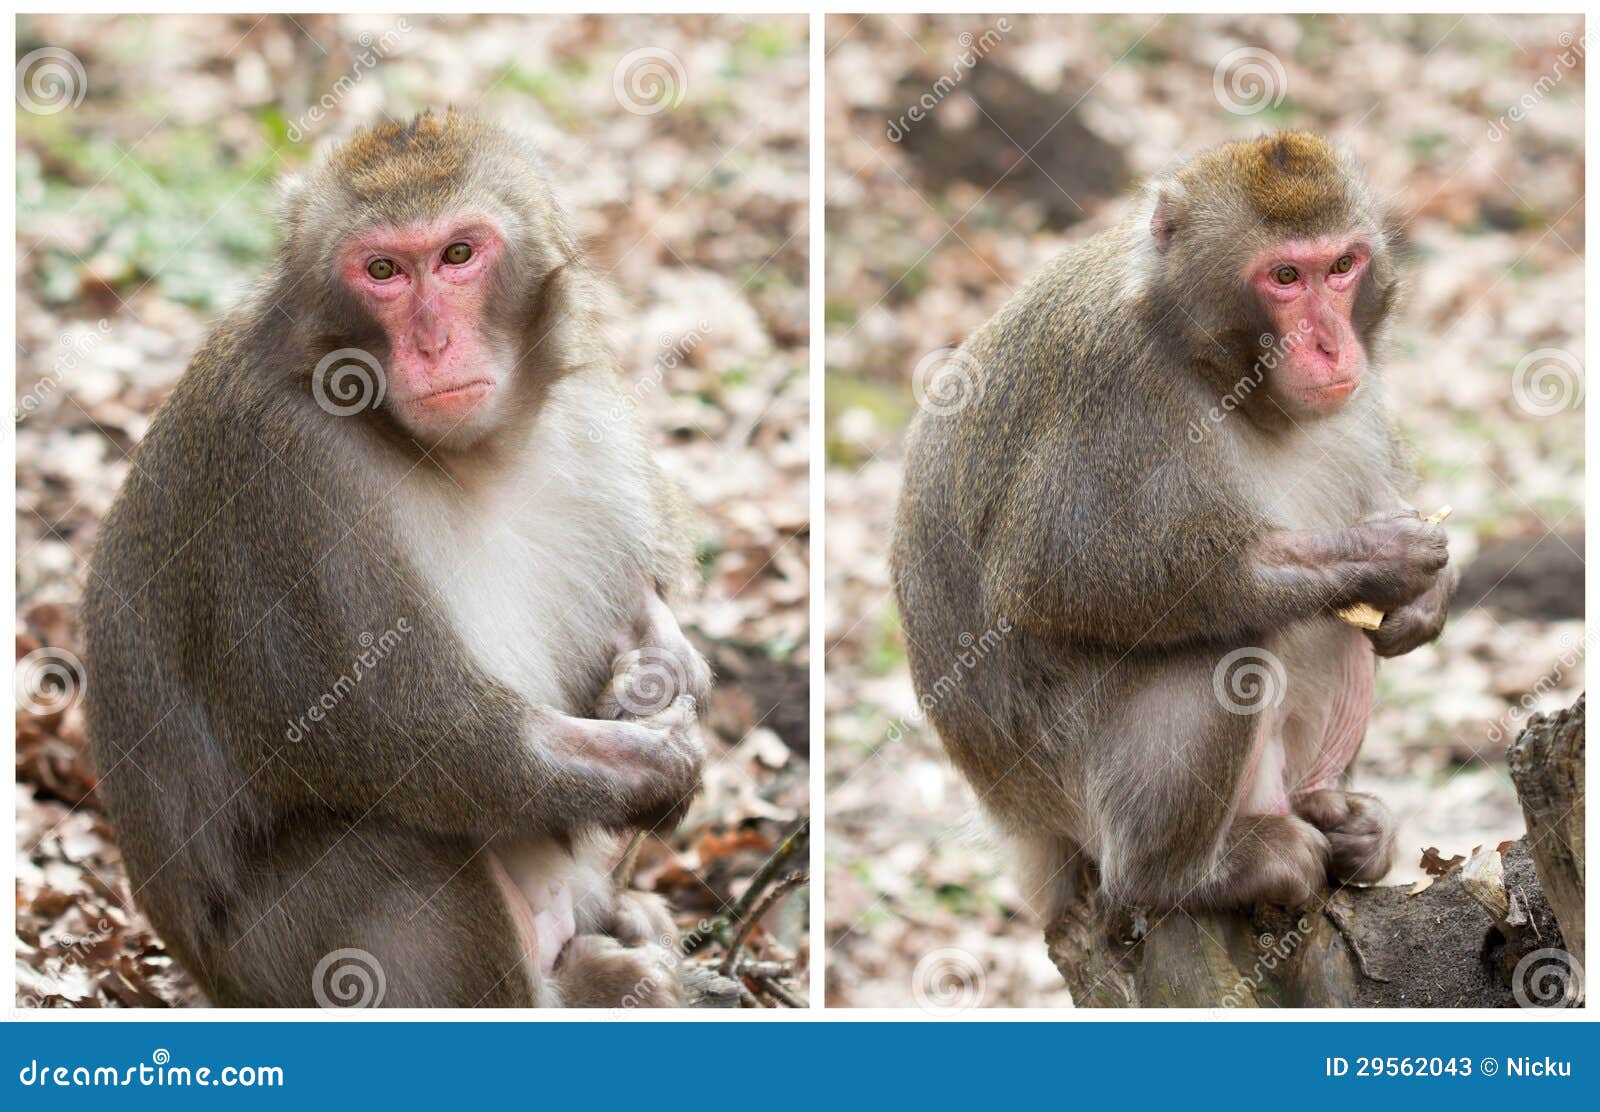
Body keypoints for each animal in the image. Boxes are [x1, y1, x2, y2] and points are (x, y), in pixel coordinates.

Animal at [80, 112, 713, 1007]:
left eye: (458, 254)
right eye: (382, 270)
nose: (435, 342)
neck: (465, 458)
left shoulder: (588, 414)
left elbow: (635, 591)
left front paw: (661, 668)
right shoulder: (288, 474)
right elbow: (404, 730)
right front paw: (653, 767)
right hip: (274, 967)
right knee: (392, 853)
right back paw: (585, 986)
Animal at [891, 132, 1454, 923]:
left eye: (1342, 266)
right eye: (1285, 277)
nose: (1333, 347)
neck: (1217, 369)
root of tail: (1020, 824)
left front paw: (1430, 597)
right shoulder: (1116, 387)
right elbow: (1062, 578)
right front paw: (1383, 557)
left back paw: (1349, 827)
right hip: (1068, 783)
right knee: (1218, 642)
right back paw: (1186, 876)